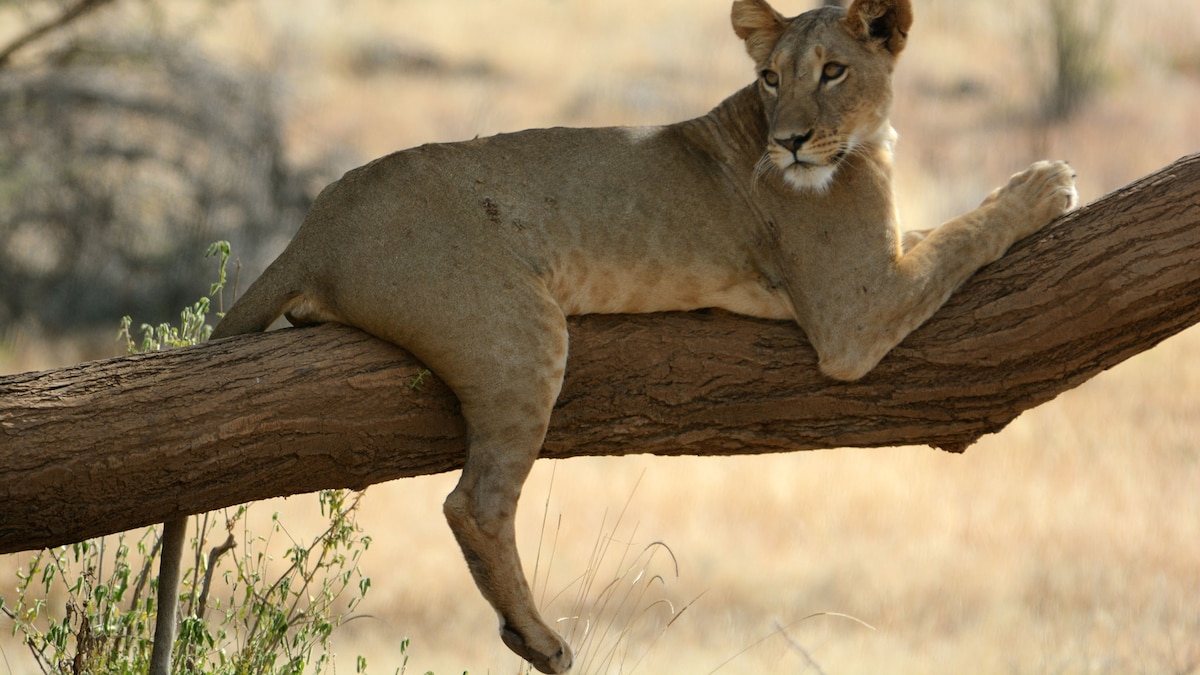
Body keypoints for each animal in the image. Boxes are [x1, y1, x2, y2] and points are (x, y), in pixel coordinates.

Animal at [148, 0, 1077, 672]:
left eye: (834, 71)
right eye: (771, 78)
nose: (789, 141)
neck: (863, 140)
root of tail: (318, 221)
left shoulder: (875, 270)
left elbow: (935, 229)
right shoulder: (852, 314)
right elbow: (964, 232)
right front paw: (1047, 182)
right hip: (517, 327)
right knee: (473, 502)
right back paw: (540, 639)